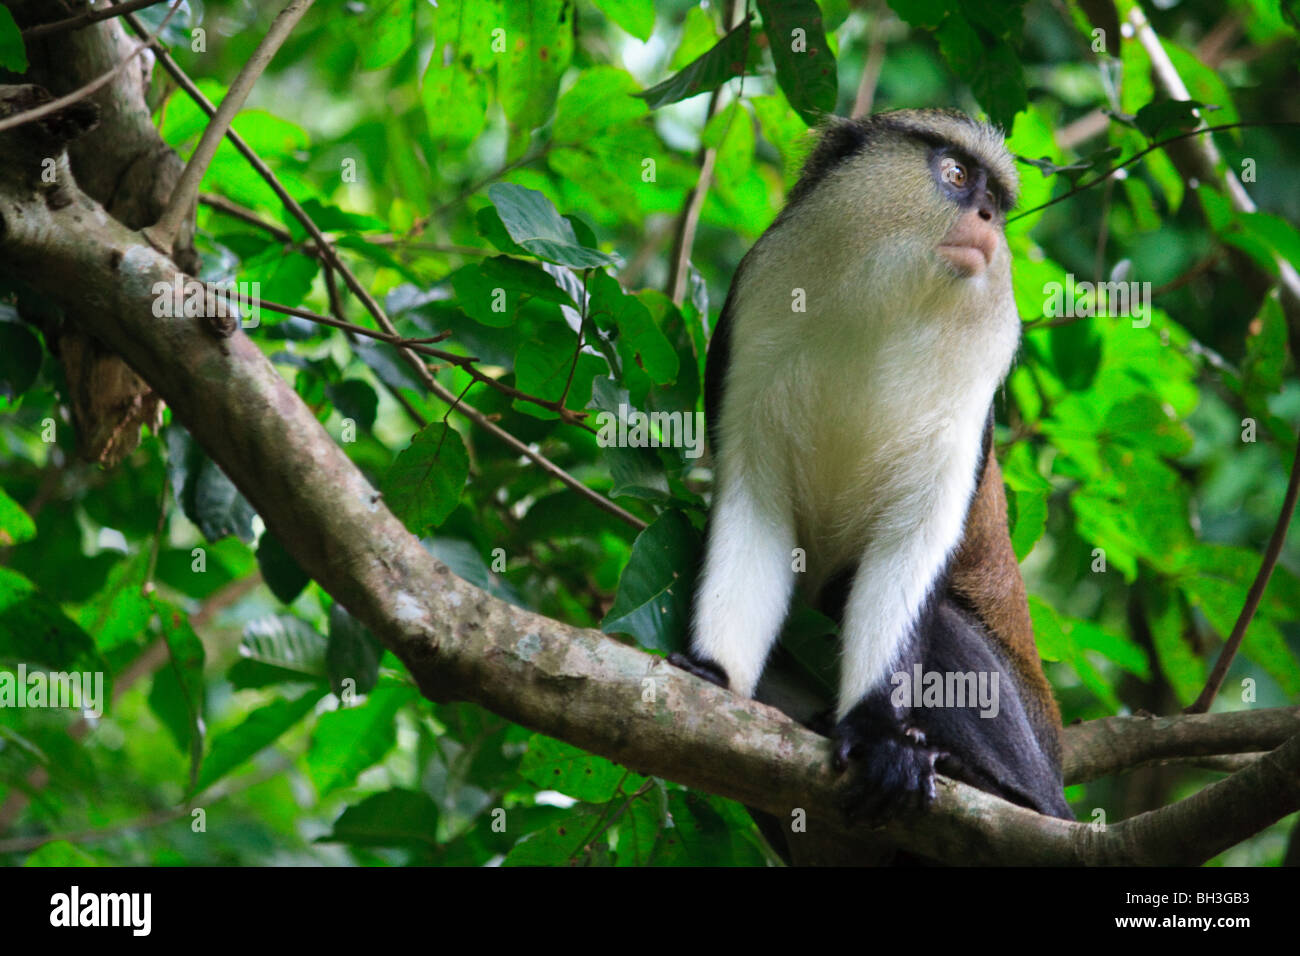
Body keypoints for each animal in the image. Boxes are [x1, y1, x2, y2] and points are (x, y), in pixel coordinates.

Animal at [670, 109, 1073, 823]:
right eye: (956, 173)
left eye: (996, 204)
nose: (986, 217)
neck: (884, 303)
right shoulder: (752, 314)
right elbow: (755, 505)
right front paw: (714, 675)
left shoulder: (973, 396)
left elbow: (914, 540)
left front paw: (882, 735)